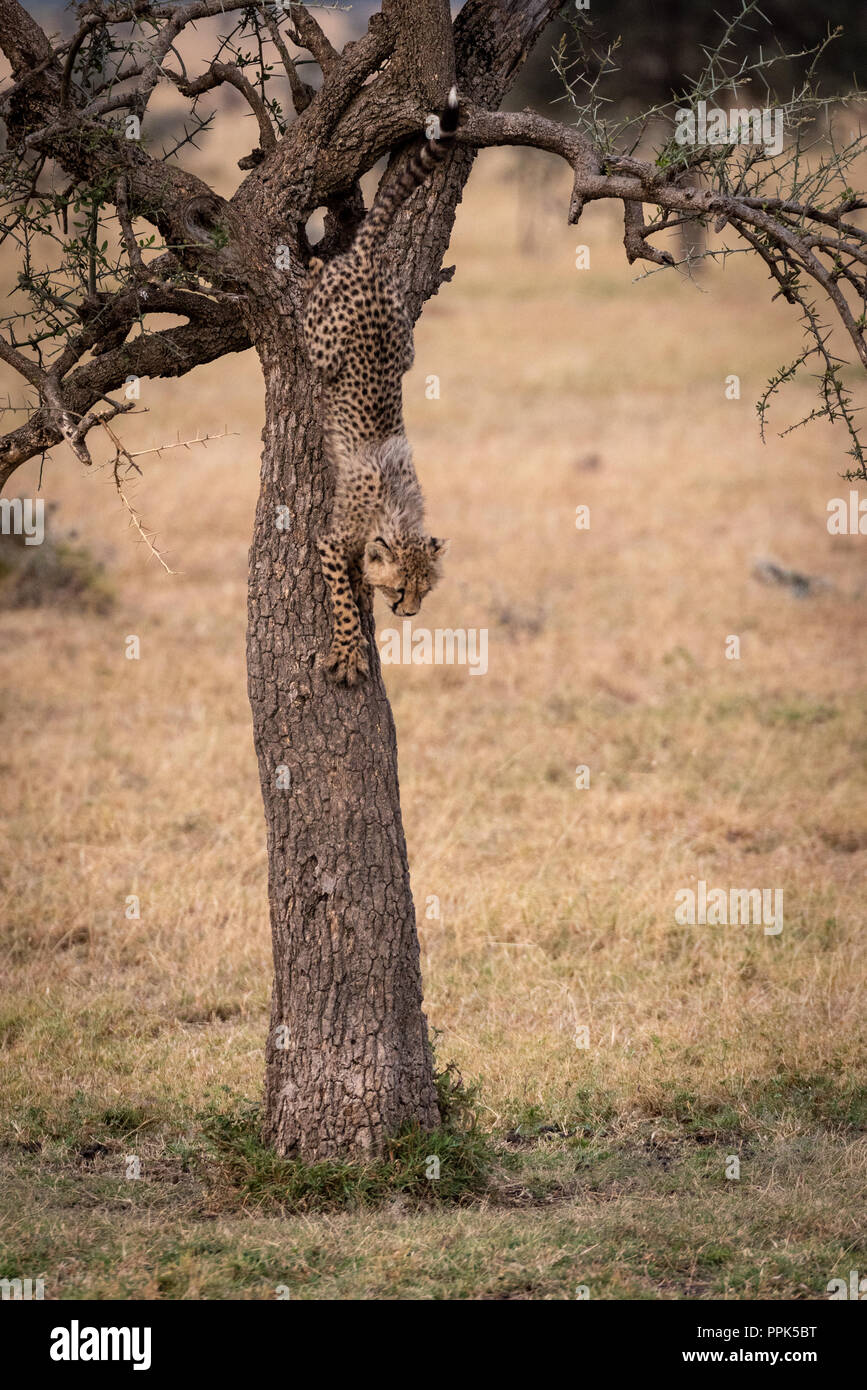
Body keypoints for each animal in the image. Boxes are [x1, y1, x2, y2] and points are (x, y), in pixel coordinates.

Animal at [303, 88, 459, 684]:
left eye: (424, 591)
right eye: (401, 590)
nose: (409, 614)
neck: (392, 510)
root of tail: (369, 260)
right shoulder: (330, 539)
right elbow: (344, 601)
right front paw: (348, 653)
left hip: (407, 349)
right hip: (322, 344)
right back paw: (309, 270)